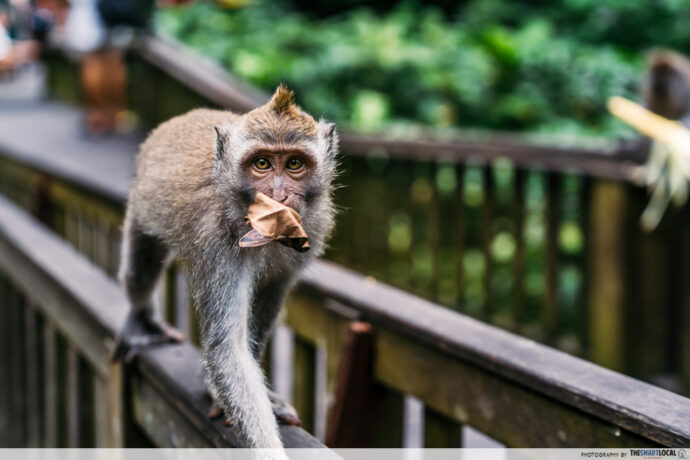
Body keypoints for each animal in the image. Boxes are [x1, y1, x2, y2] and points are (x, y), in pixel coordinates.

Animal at [117, 84, 339, 450]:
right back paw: (142, 321)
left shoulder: (312, 229)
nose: (278, 197)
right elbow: (227, 349)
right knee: (140, 270)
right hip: (139, 206)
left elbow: (268, 298)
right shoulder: (216, 240)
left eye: (294, 163)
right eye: (262, 163)